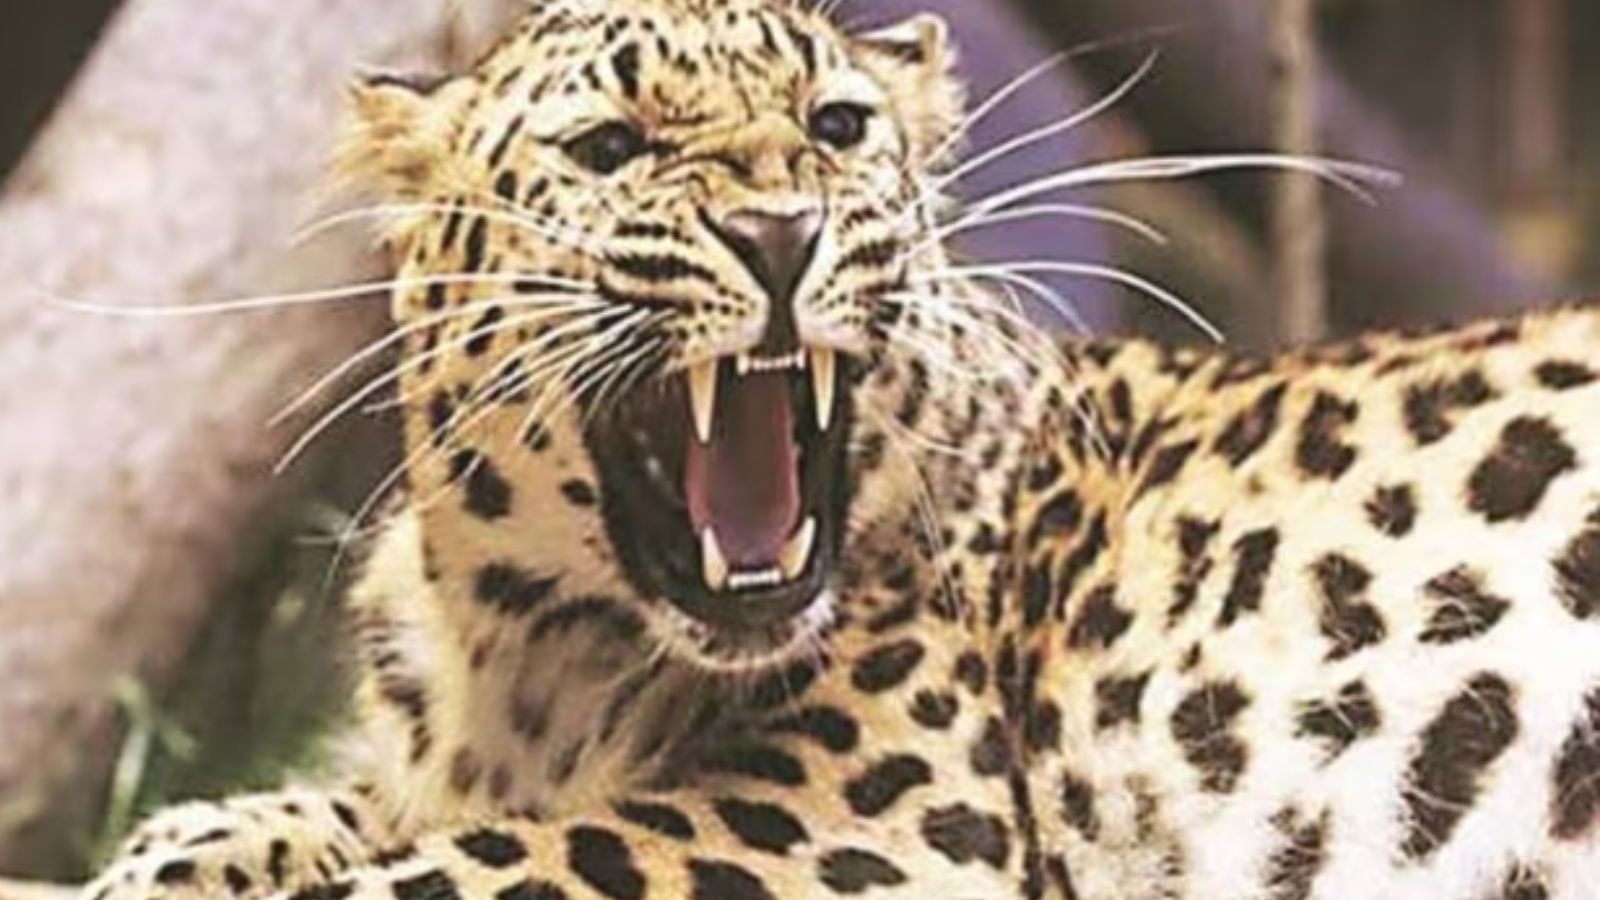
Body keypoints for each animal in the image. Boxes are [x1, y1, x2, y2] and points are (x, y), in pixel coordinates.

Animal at [79, 0, 1600, 898]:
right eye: (610, 147)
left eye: (837, 126)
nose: (780, 232)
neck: (525, 663)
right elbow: (339, 814)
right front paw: (191, 840)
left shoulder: (882, 813)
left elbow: (482, 865)